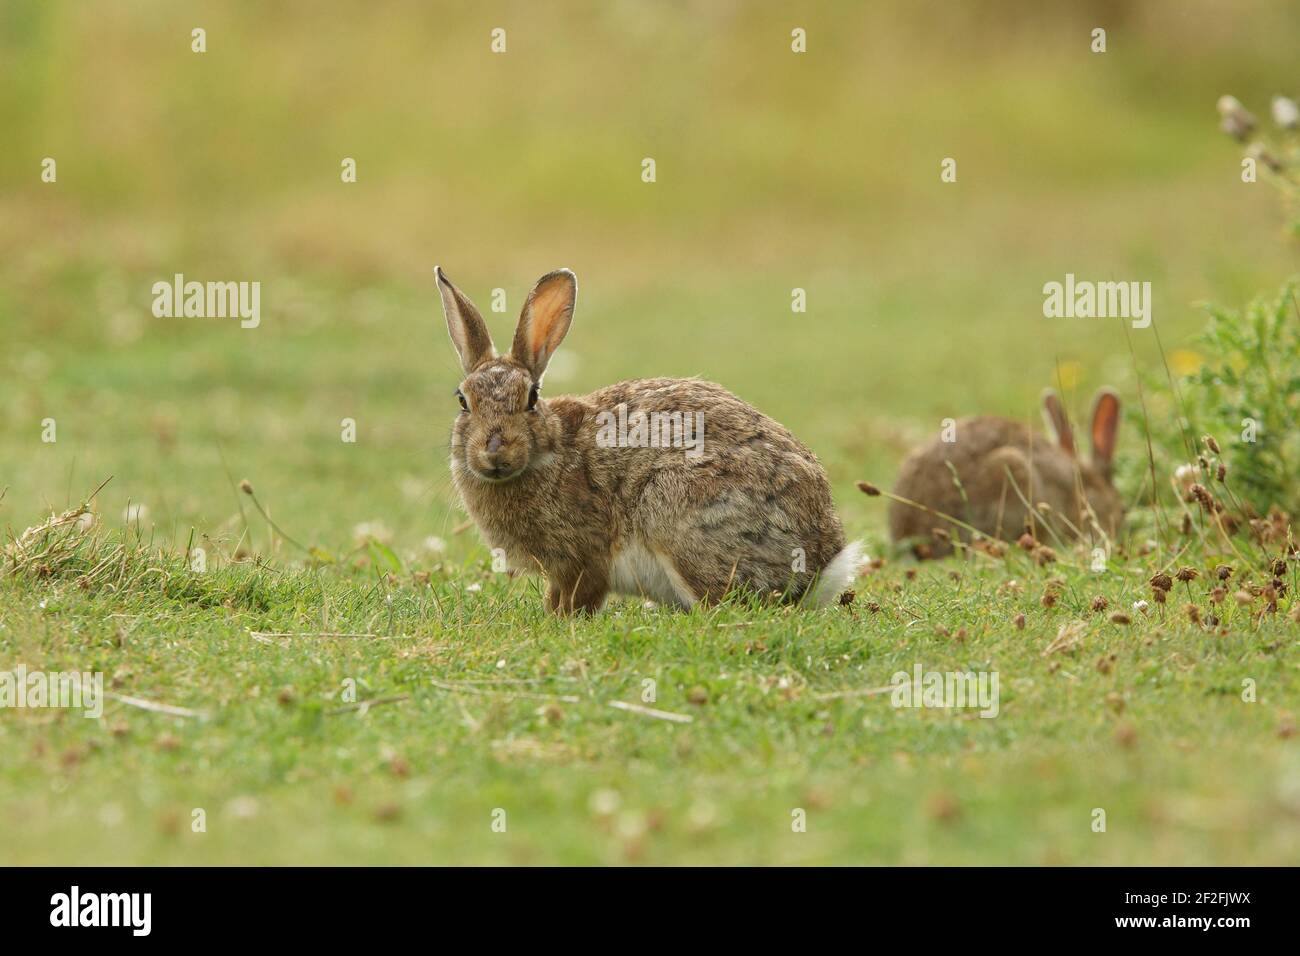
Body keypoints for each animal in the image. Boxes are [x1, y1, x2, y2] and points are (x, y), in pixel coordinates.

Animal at [436, 266, 862, 614]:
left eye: (531, 399)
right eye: (462, 401)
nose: (495, 452)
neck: (550, 449)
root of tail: (822, 566)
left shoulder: (583, 558)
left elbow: (576, 595)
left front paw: (557, 620)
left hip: (675, 512)